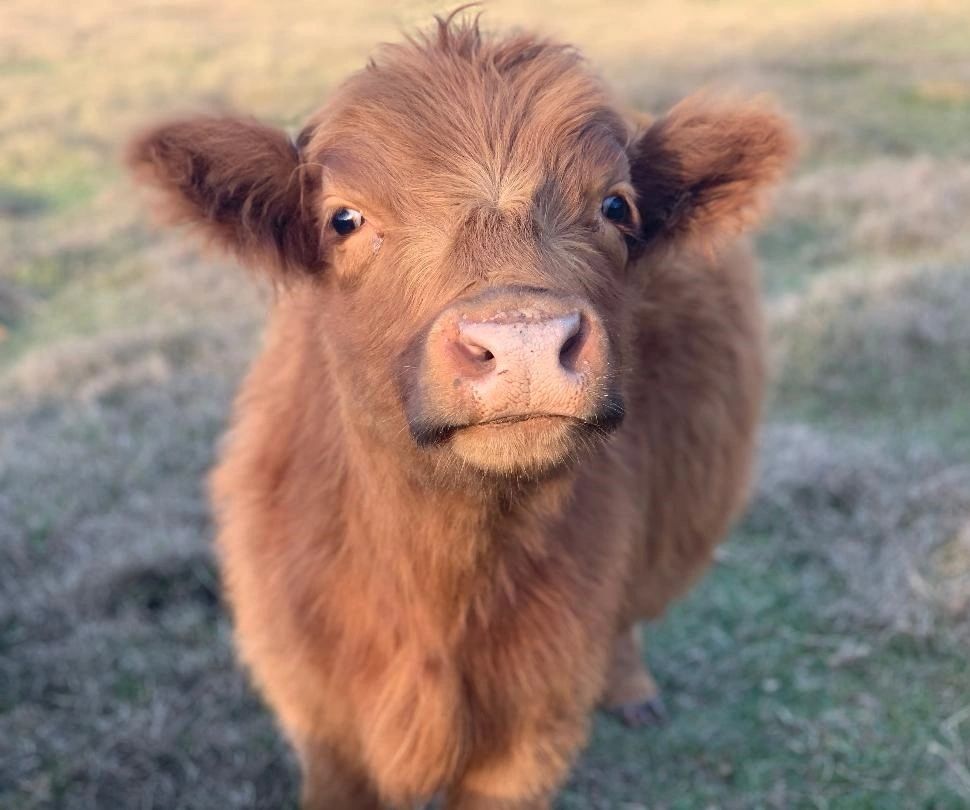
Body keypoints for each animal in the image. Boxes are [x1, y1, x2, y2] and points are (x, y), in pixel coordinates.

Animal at [127, 13, 793, 810]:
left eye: (615, 206)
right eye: (344, 219)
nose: (525, 342)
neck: (440, 586)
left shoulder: (534, 731)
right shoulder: (326, 727)